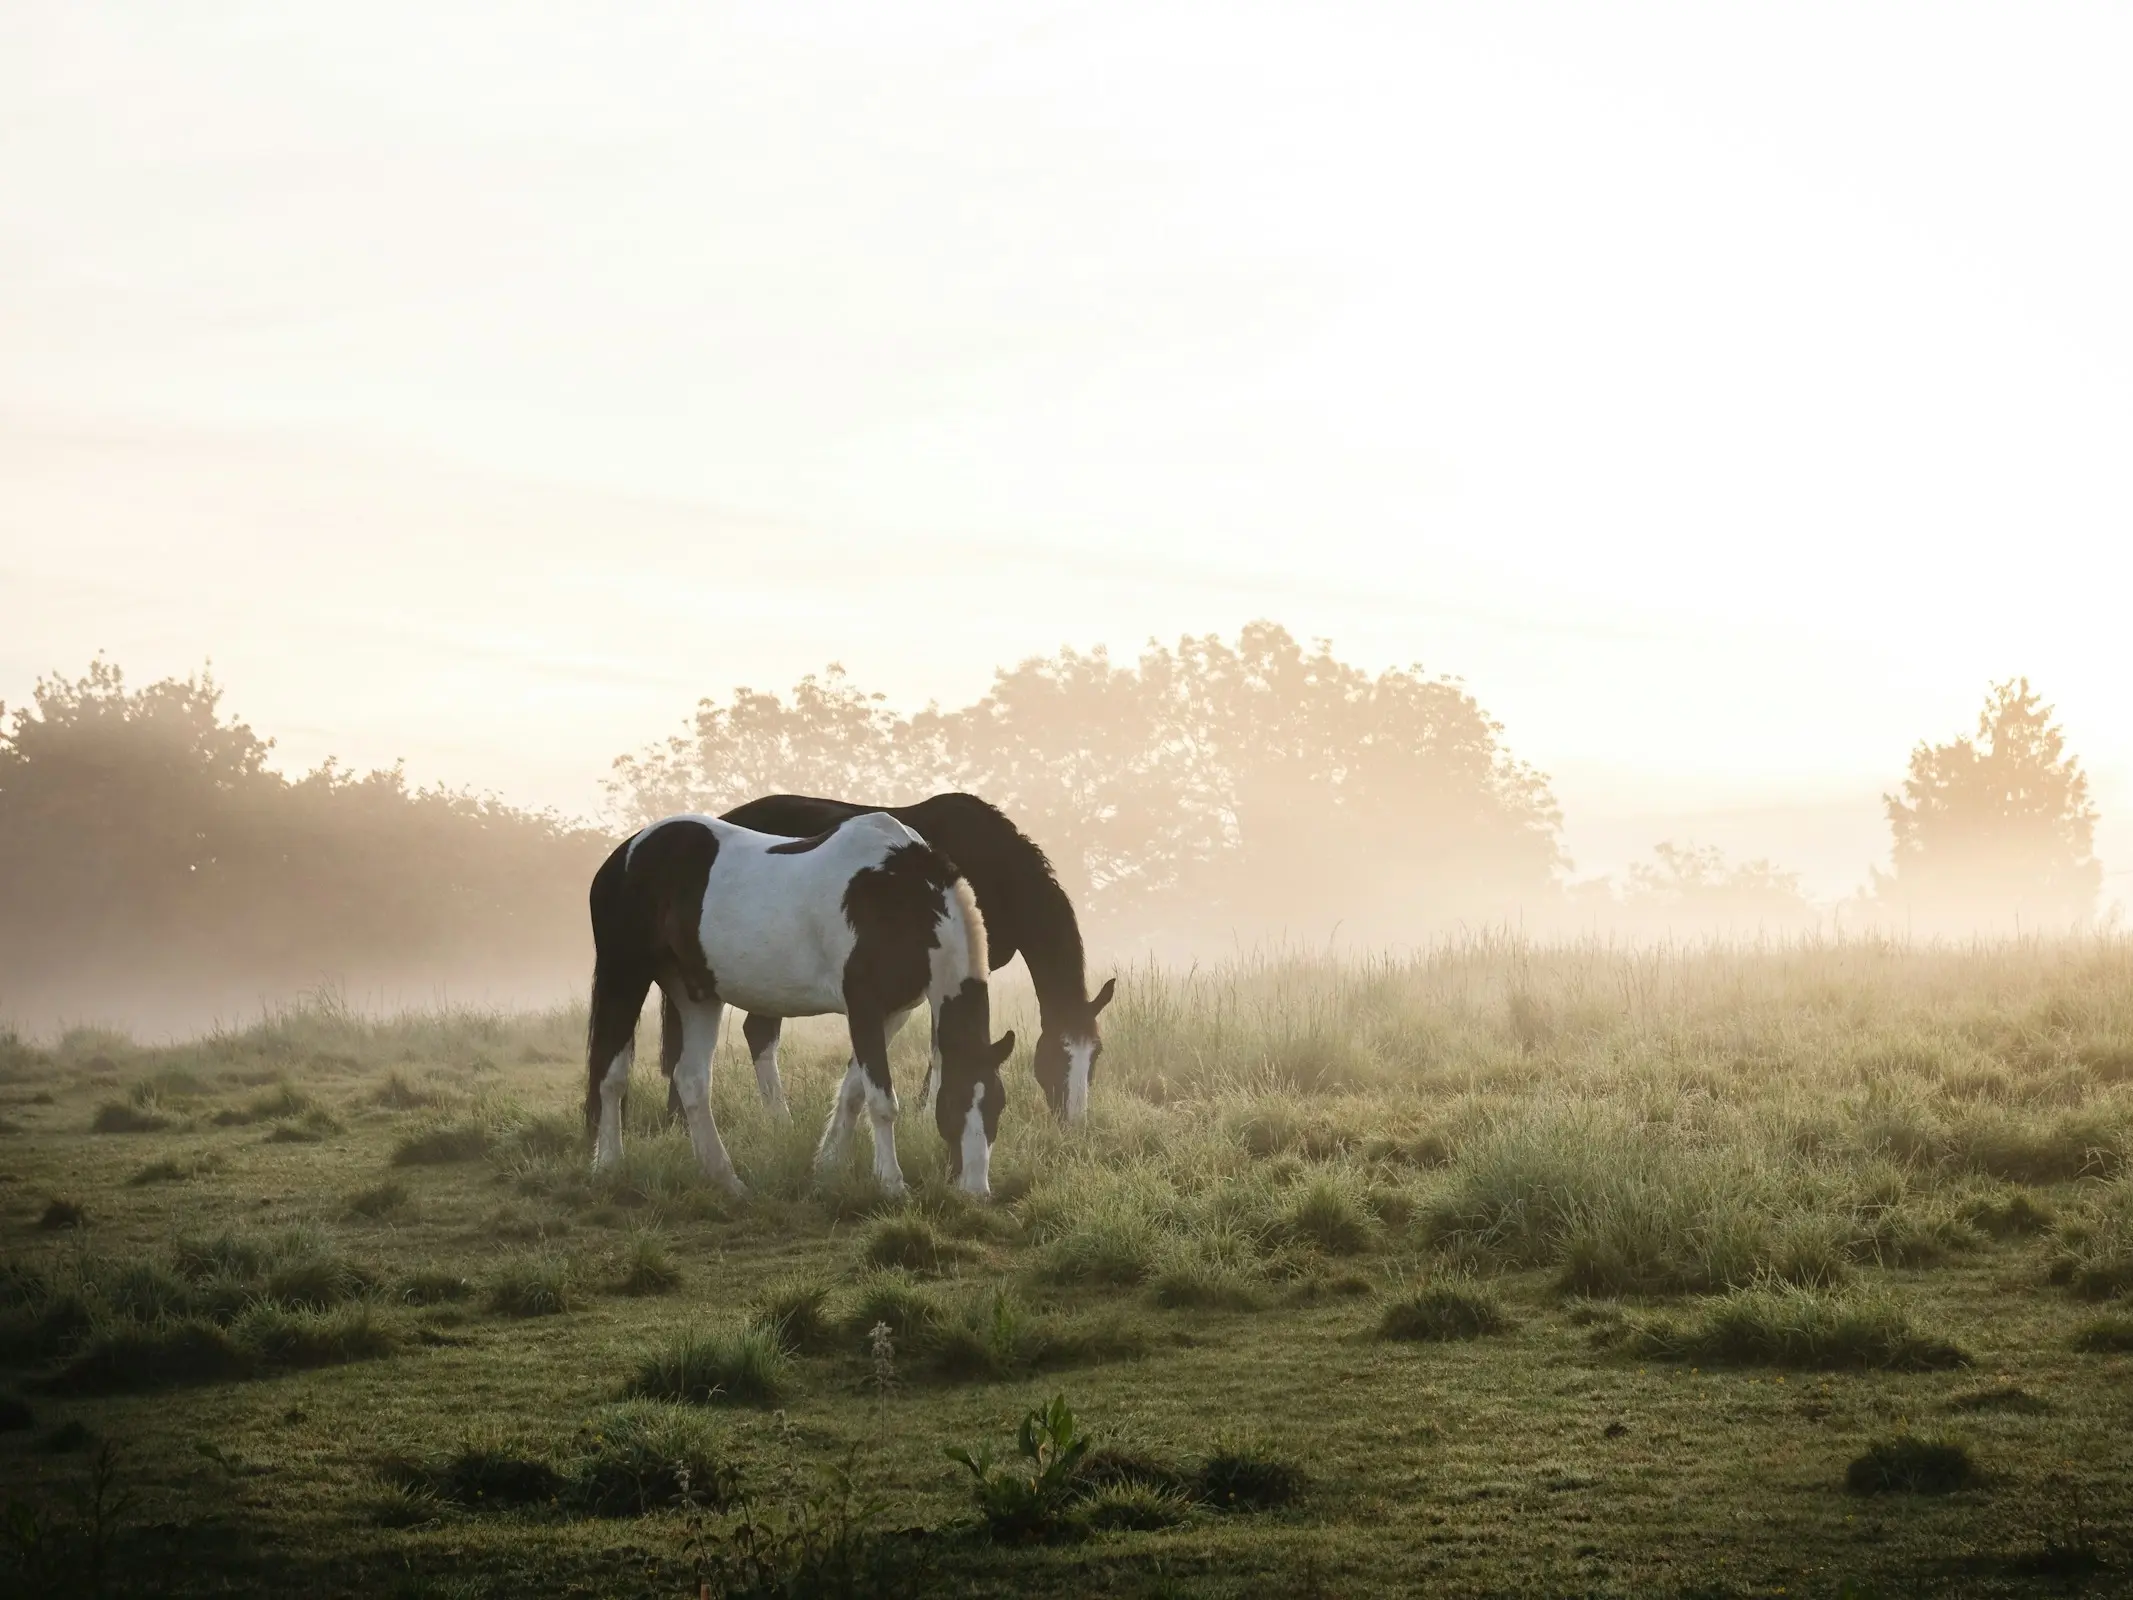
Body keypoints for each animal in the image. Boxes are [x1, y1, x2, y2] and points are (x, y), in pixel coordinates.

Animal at [584, 810, 1015, 1199]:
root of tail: (626, 853)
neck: (895, 894)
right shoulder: (864, 1007)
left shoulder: (894, 1013)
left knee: (691, 1080)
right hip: (624, 975)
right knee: (611, 1074)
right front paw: (892, 1185)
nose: (976, 1191)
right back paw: (609, 1165)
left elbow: (853, 1091)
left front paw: (827, 1169)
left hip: (696, 994)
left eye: (997, 1106)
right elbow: (881, 1100)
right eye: (954, 1104)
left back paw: (726, 1179)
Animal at [664, 792, 1114, 1126]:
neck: (996, 870)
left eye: (1096, 1055)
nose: (1074, 1124)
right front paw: (928, 1114)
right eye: (1060, 1055)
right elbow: (940, 1046)